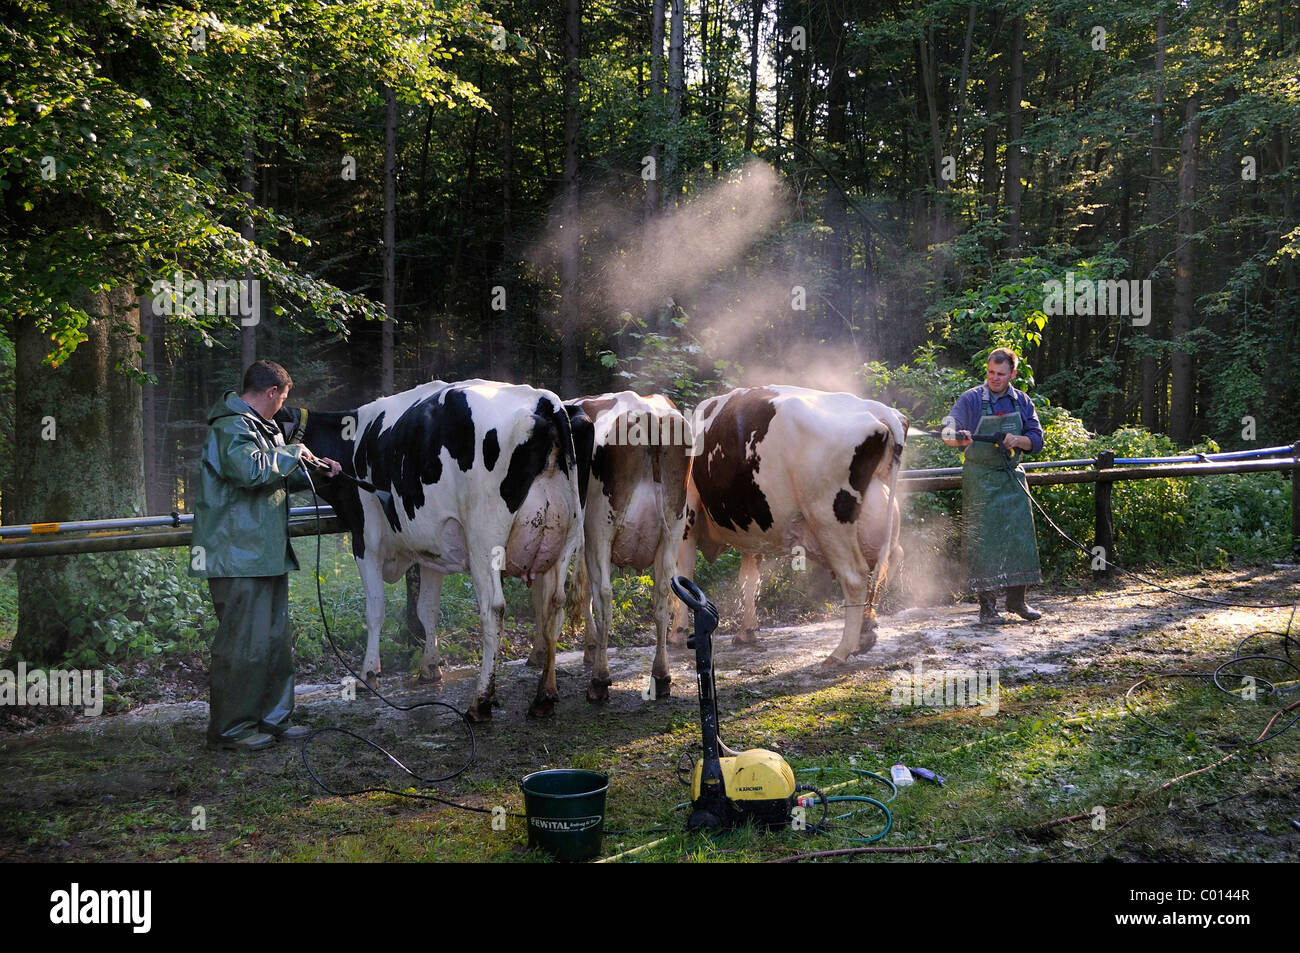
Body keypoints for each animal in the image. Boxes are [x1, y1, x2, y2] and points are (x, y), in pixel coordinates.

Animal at [278, 379, 590, 721]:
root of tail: (545, 402)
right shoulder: (431, 550)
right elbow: (427, 609)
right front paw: (430, 667)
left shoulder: (365, 541)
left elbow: (375, 609)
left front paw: (368, 673)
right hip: (566, 538)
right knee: (555, 605)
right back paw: (544, 695)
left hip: (484, 540)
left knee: (494, 610)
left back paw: (481, 701)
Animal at [557, 392, 691, 703]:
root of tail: (649, 413)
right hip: (673, 528)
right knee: (662, 594)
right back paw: (661, 676)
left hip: (601, 529)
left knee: (604, 596)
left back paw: (599, 680)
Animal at [669, 385, 908, 666]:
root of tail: (876, 409)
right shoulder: (753, 527)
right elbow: (749, 578)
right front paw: (747, 631)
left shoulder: (687, 520)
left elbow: (683, 575)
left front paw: (677, 632)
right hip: (879, 514)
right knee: (886, 564)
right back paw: (866, 631)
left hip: (827, 517)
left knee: (855, 577)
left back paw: (840, 652)